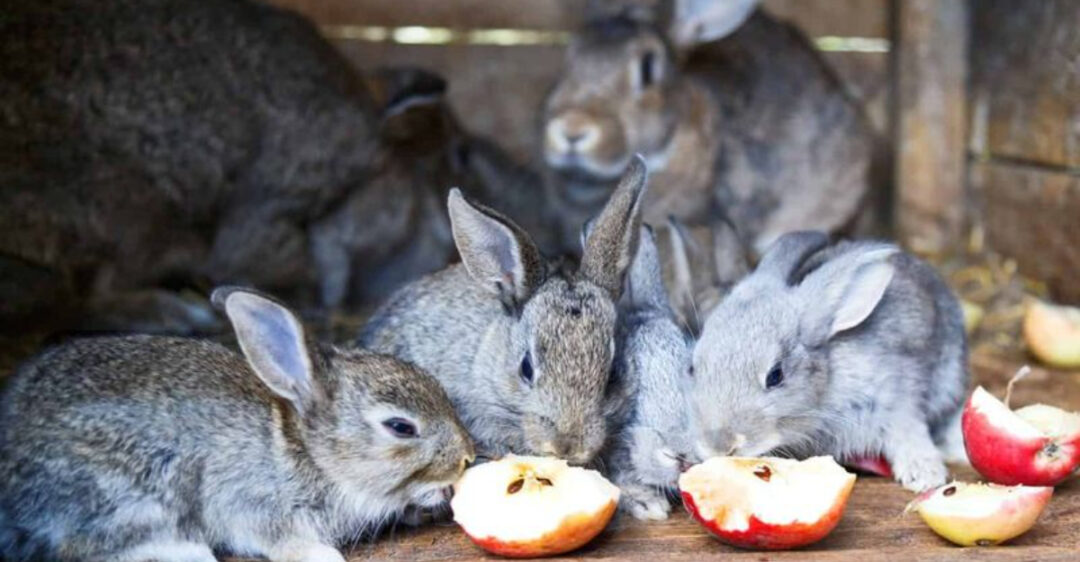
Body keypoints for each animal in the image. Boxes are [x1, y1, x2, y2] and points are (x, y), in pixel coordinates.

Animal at [0, 287, 474, 562]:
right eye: (401, 427)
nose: (466, 457)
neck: (307, 452)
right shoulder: (250, 502)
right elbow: (276, 536)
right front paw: (320, 555)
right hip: (125, 491)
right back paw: (188, 553)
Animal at [687, 232, 968, 492]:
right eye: (693, 368)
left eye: (775, 375)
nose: (718, 445)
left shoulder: (896, 400)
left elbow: (908, 432)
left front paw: (924, 476)